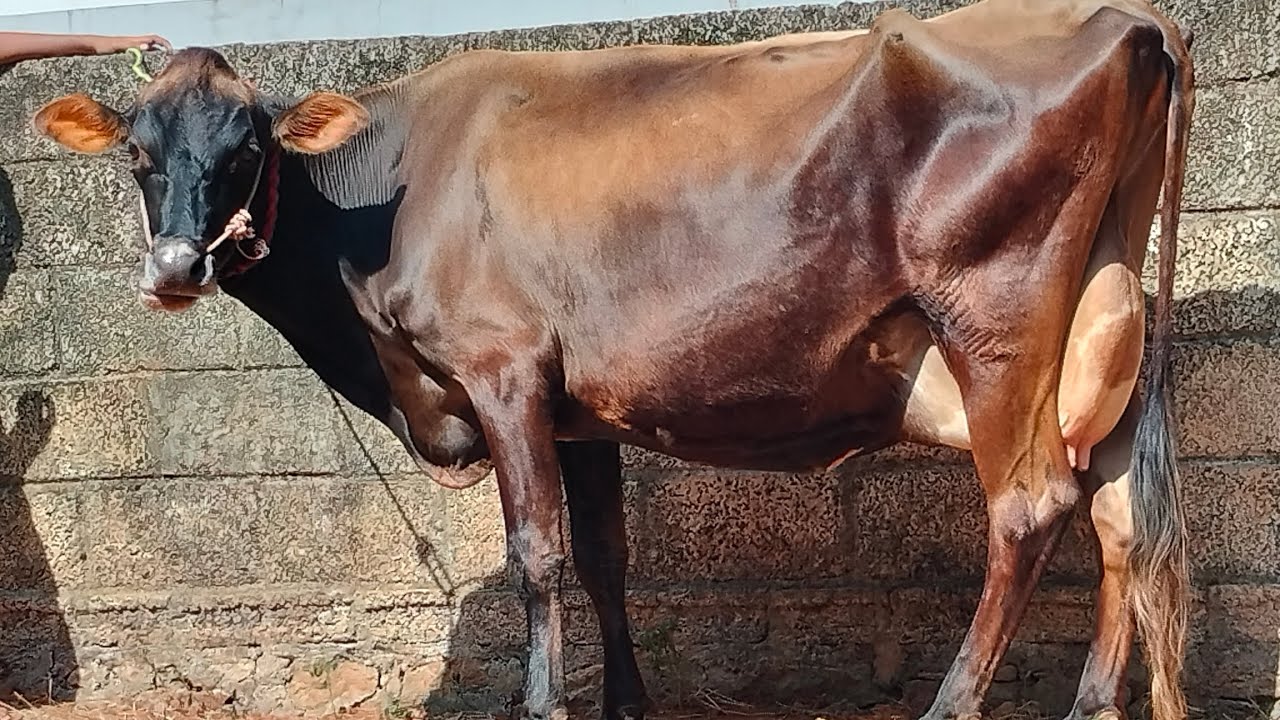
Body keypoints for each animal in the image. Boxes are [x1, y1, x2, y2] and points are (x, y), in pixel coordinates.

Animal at [30, 0, 1194, 717]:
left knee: (1030, 508)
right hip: (1100, 326)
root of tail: (1132, 19)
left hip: (996, 322)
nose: (175, 267)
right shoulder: (576, 405)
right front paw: (625, 702)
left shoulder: (502, 372)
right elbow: (604, 556)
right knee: (1116, 514)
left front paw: (544, 700)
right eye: (137, 154)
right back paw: (1093, 704)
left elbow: (536, 555)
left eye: (247, 149)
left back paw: (953, 703)